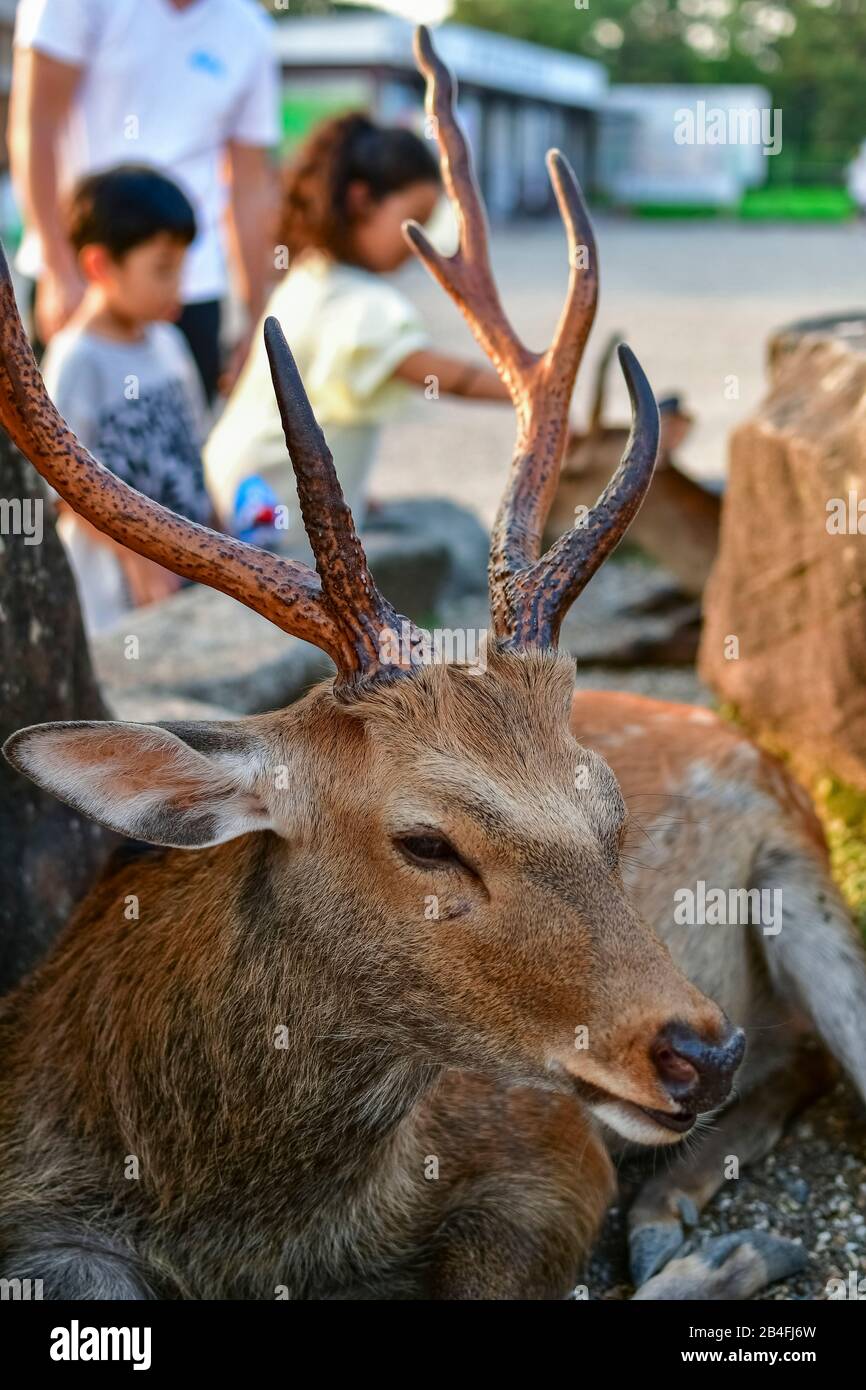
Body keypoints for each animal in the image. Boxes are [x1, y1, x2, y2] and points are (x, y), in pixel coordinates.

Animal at [0, 26, 864, 1301]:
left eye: (608, 812)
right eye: (423, 840)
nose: (698, 1048)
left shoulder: (545, 1143)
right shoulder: (35, 1193)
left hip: (806, 889)